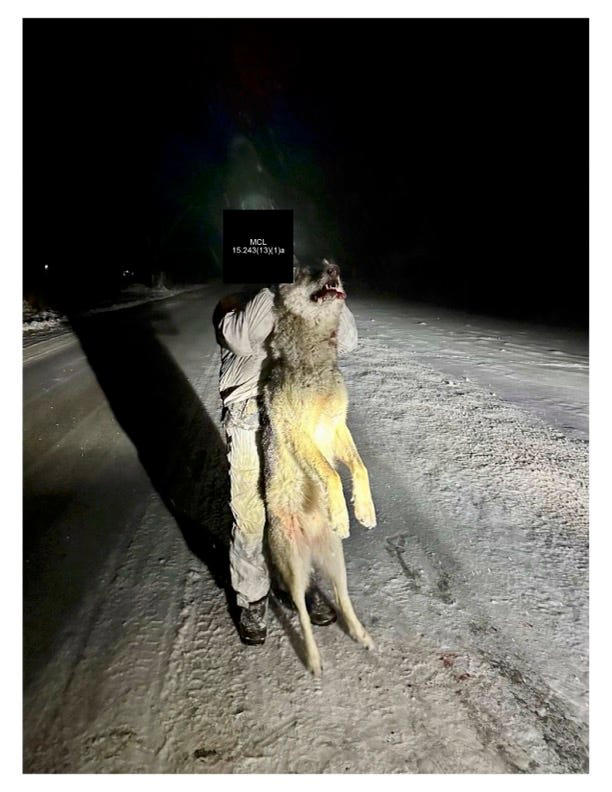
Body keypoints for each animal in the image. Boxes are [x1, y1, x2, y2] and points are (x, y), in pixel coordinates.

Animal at [262, 258, 377, 676]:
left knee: (342, 600)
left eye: (326, 265)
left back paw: (363, 636)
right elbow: (329, 474)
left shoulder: (338, 425)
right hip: (294, 570)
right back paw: (313, 661)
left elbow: (359, 469)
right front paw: (341, 514)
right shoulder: (299, 432)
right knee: (302, 612)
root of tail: (311, 550)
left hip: (336, 564)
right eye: (304, 270)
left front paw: (363, 511)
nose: (335, 267)